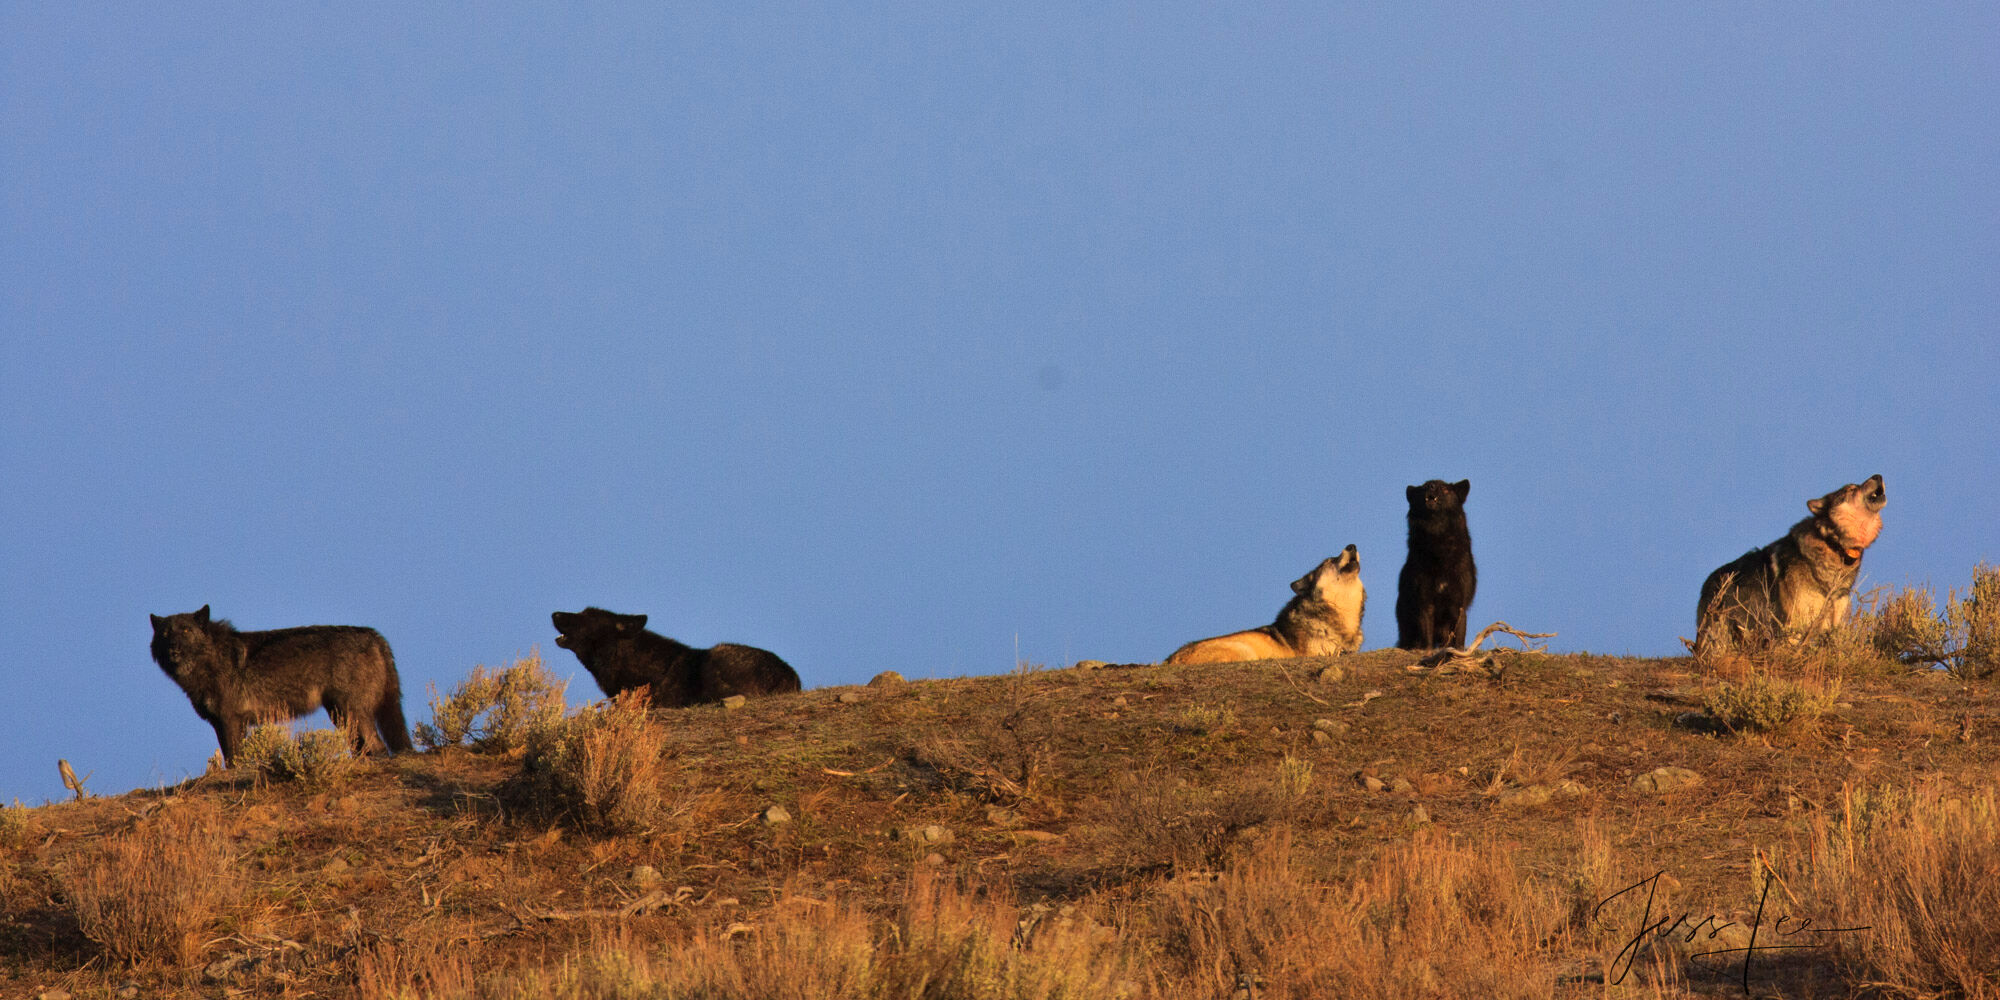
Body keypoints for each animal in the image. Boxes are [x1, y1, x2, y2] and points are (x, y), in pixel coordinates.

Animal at [147, 605, 414, 765]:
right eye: (165, 634)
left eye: (186, 630)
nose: (174, 648)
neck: (209, 662)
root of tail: (375, 636)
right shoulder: (222, 723)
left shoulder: (230, 720)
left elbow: (234, 759)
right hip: (341, 716)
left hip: (351, 712)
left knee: (379, 747)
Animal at [1396, 478, 1477, 650]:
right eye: (1424, 487)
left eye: (1445, 489)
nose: (1431, 487)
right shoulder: (1425, 601)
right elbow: (1426, 636)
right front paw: (1427, 652)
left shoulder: (1459, 605)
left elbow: (1459, 637)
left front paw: (1458, 651)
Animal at [1696, 474, 1886, 657]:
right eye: (1851, 489)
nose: (1878, 476)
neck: (1832, 544)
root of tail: (1707, 583)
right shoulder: (1794, 626)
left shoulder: (1834, 625)